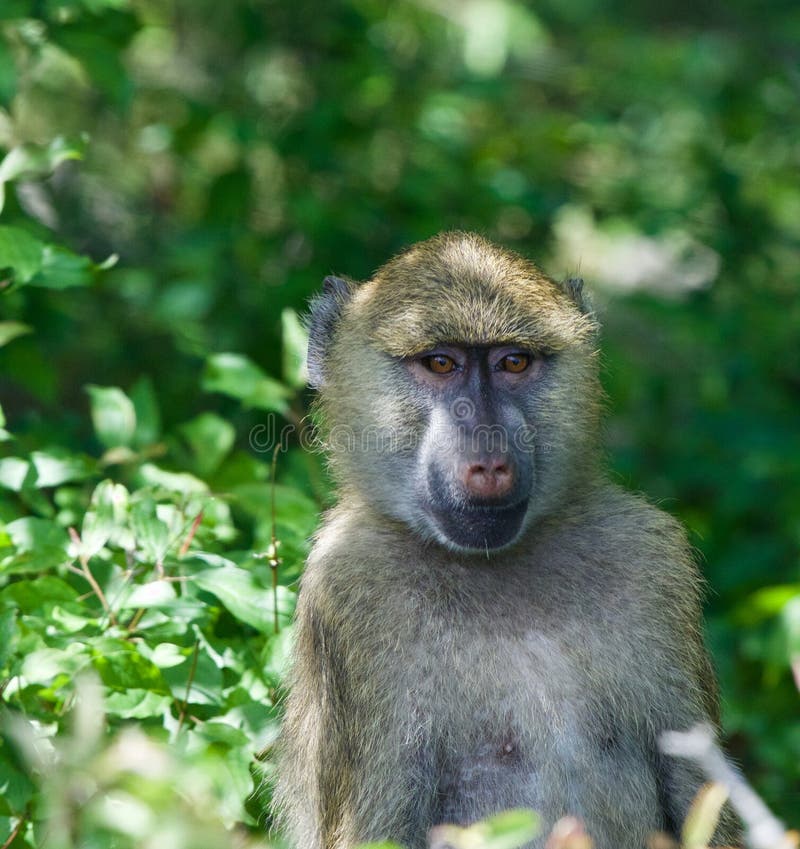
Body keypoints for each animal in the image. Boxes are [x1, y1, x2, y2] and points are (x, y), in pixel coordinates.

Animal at [273, 232, 739, 849]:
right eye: (440, 363)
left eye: (513, 361)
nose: (490, 462)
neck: (494, 564)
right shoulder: (346, 593)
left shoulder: (651, 558)